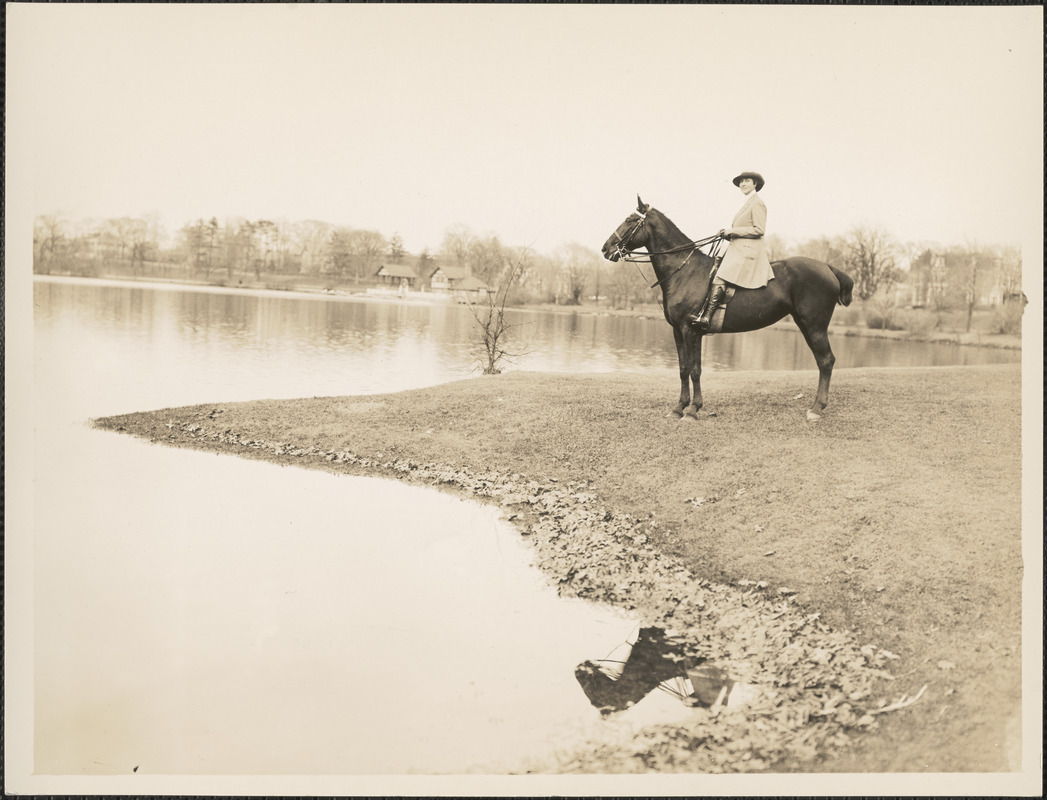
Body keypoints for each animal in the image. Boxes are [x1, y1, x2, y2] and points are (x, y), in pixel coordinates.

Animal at [601, 197, 853, 422]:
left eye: (629, 220)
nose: (605, 248)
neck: (685, 270)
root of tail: (828, 267)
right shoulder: (678, 331)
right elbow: (683, 369)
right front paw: (678, 408)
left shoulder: (691, 330)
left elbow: (695, 370)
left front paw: (692, 410)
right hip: (805, 325)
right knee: (822, 362)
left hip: (815, 326)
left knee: (826, 361)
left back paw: (817, 409)